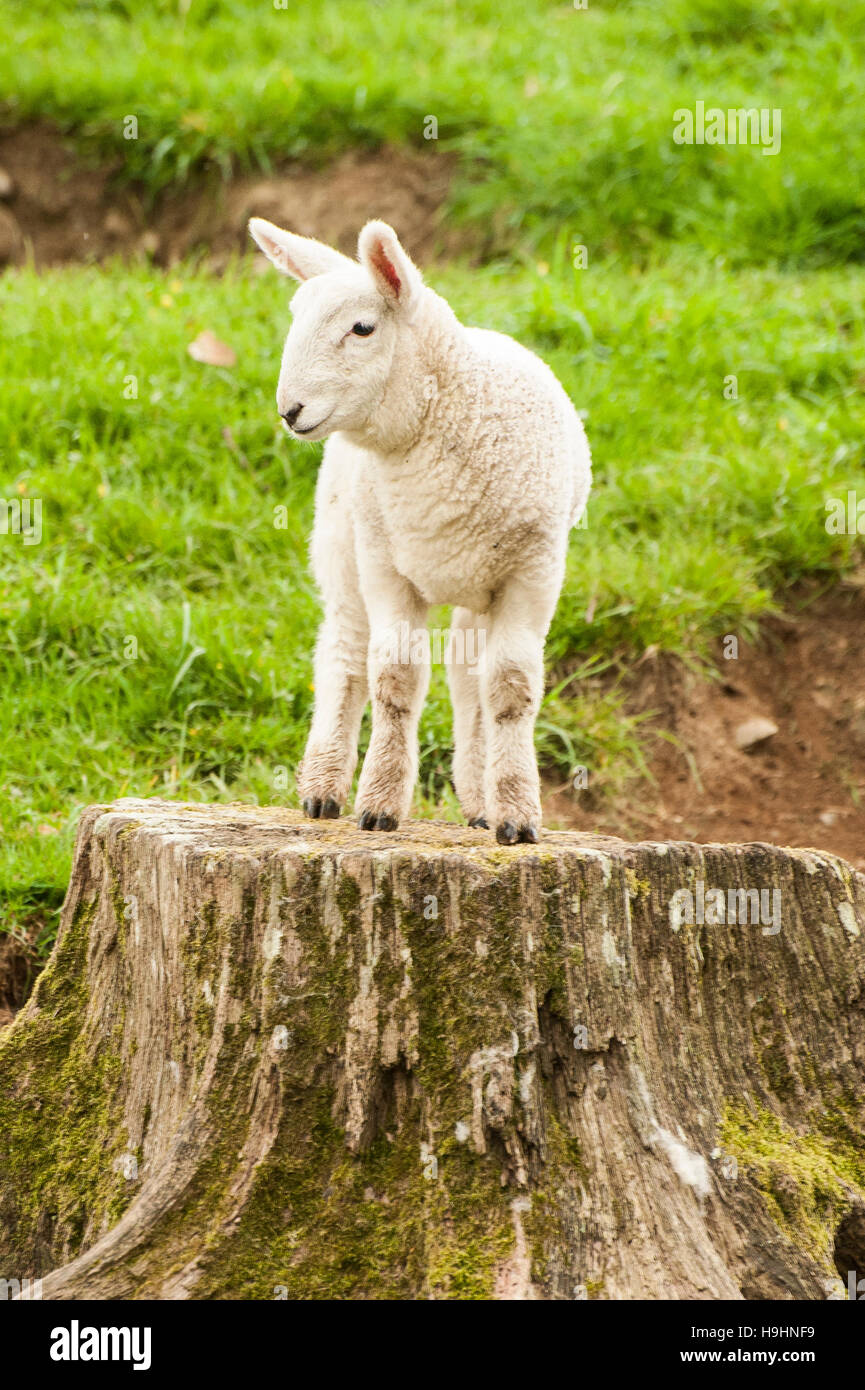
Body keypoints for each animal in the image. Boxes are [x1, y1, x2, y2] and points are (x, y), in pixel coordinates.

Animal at [249, 216, 591, 844]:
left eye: (362, 328)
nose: (290, 410)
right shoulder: (387, 567)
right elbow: (395, 680)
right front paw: (379, 803)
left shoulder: (532, 573)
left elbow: (509, 689)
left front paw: (517, 815)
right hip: (342, 546)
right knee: (343, 654)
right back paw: (323, 786)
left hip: (475, 581)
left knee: (468, 677)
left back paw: (479, 799)